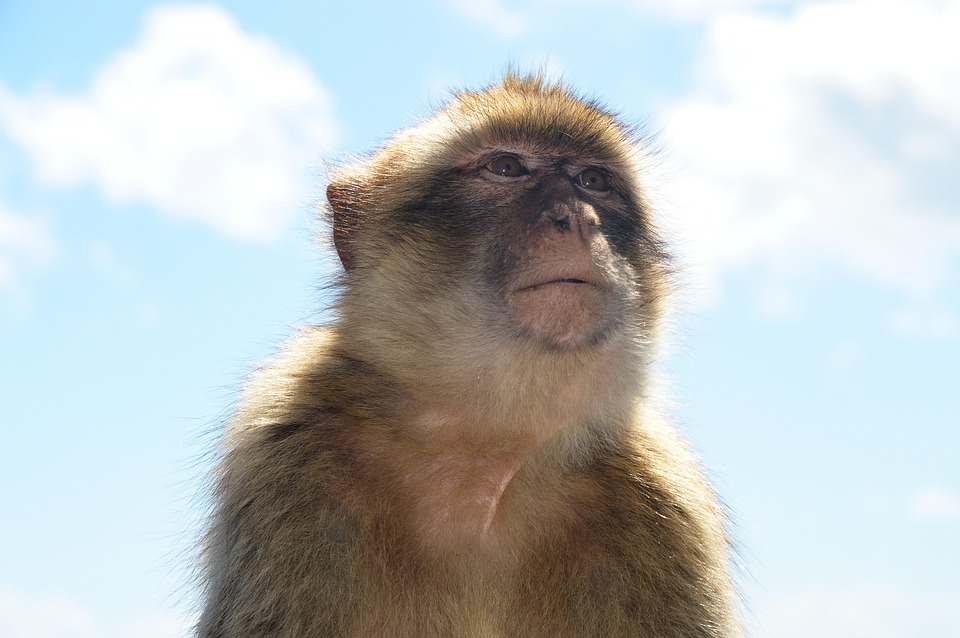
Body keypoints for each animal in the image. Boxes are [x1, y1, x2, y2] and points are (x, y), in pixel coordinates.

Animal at [196, 73, 741, 637]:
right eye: (506, 168)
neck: (485, 443)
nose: (578, 218)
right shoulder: (287, 449)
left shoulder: (662, 496)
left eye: (593, 181)